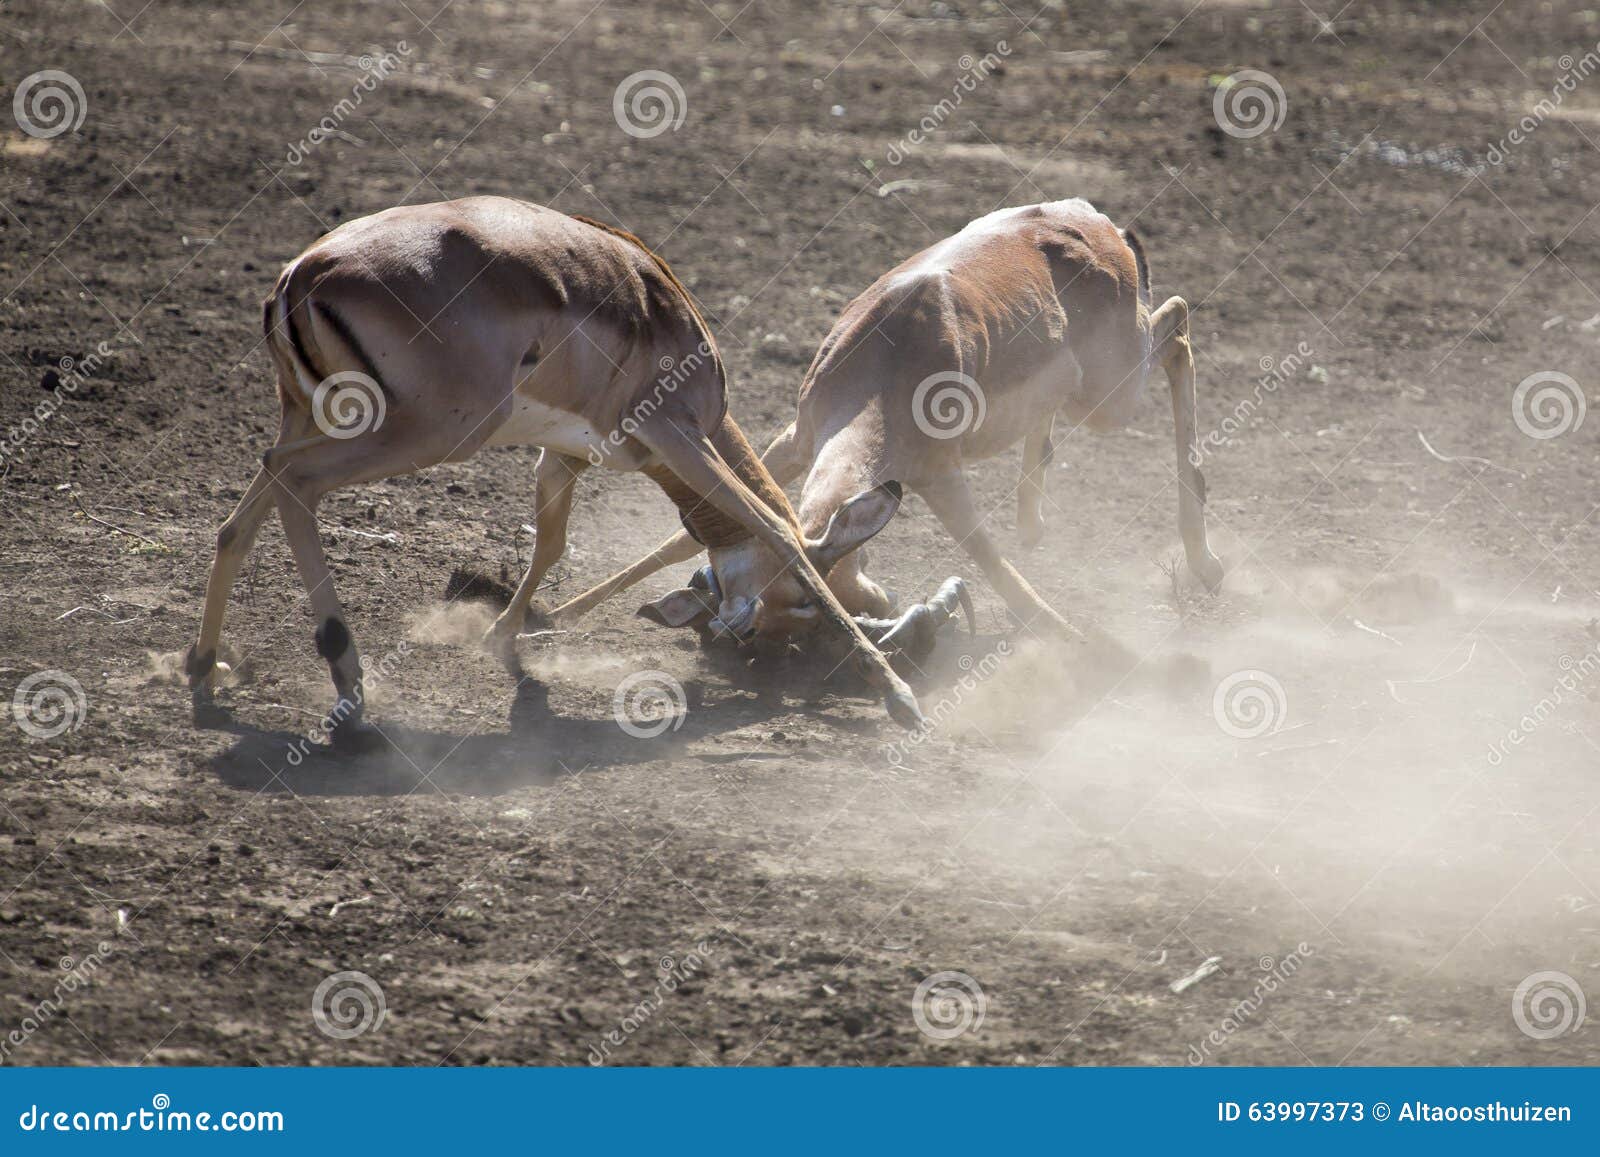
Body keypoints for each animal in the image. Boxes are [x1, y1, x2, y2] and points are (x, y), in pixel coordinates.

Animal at [185, 197, 924, 750]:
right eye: (800, 605)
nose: (746, 640)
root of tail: (303, 275)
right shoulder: (675, 431)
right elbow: (769, 523)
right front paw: (900, 697)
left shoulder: (565, 454)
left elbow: (552, 544)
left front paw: (506, 635)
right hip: (425, 433)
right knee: (293, 480)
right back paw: (350, 694)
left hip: (310, 417)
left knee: (245, 507)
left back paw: (204, 669)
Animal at [549, 198, 1225, 650]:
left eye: (808, 603)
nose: (880, 602)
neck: (889, 362)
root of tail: (1096, 222)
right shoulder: (798, 438)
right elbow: (683, 537)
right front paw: (557, 615)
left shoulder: (938, 476)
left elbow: (983, 553)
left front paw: (1073, 640)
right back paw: (1035, 521)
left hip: (1110, 396)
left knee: (1178, 326)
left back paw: (1207, 564)